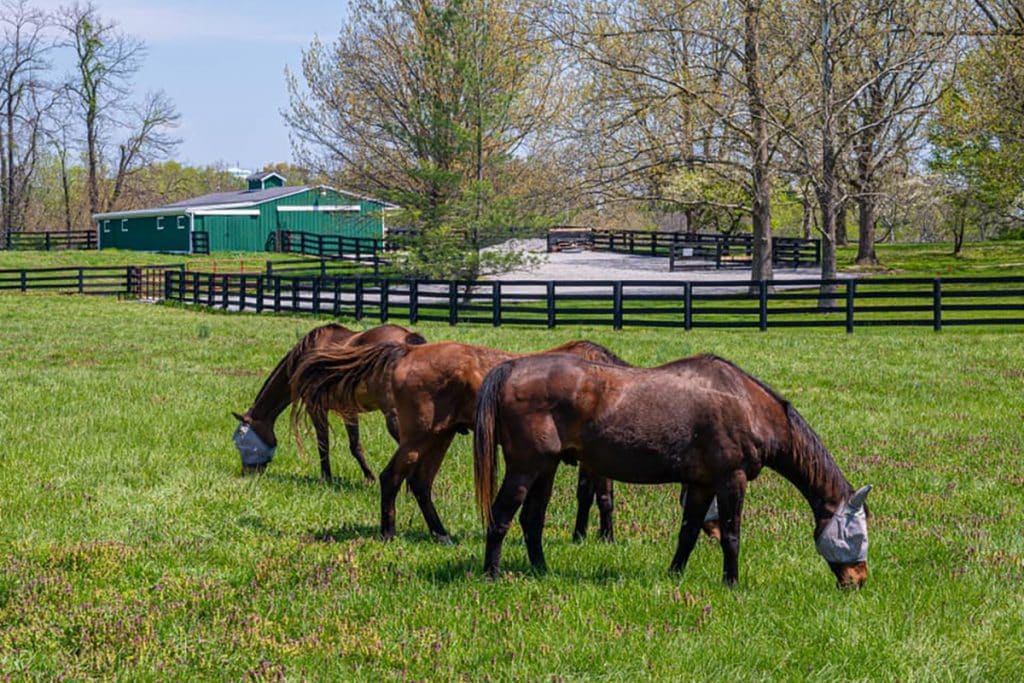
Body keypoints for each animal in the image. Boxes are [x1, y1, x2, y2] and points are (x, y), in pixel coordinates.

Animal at [231, 323, 426, 482]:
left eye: (240, 440)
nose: (247, 472)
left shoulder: (315, 408)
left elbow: (323, 443)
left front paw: (326, 478)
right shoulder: (348, 410)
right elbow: (355, 445)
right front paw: (369, 477)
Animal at [290, 339, 638, 544]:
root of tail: (407, 352)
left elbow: (586, 495)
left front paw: (582, 535)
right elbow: (603, 497)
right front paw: (605, 538)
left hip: (439, 437)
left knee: (420, 483)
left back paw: (441, 534)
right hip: (419, 437)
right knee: (392, 477)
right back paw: (388, 532)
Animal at [473, 352, 872, 588]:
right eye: (858, 536)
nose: (859, 580)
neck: (747, 405)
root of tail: (511, 368)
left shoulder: (701, 484)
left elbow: (689, 533)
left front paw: (674, 574)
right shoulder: (731, 479)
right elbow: (731, 535)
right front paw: (731, 584)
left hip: (547, 467)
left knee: (532, 519)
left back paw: (541, 571)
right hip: (525, 467)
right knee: (501, 516)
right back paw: (491, 576)